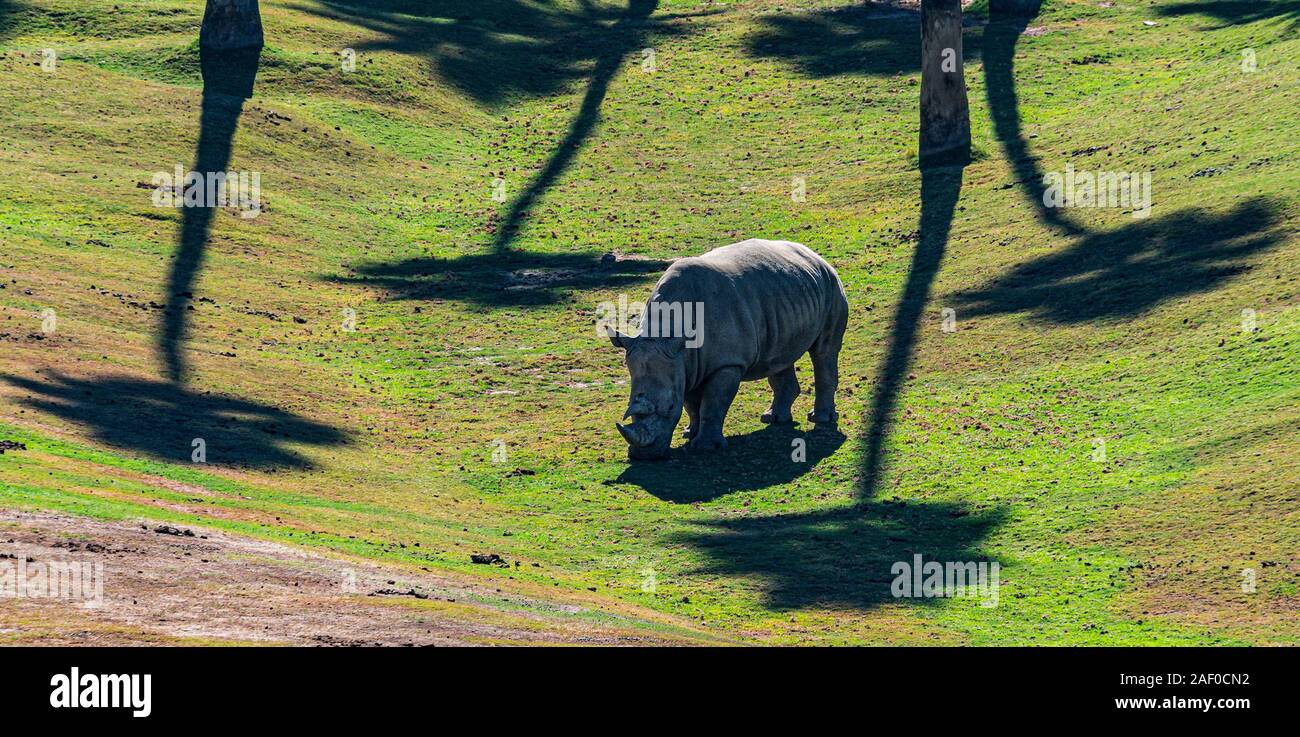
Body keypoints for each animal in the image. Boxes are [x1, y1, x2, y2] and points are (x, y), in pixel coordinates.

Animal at [609, 239, 848, 460]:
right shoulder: (685, 364)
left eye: (669, 407)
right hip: (785, 296)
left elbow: (713, 403)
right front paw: (690, 433)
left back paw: (820, 419)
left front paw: (706, 447)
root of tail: (814, 255)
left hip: (831, 287)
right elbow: (691, 404)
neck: (665, 332)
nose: (644, 456)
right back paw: (773, 418)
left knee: (824, 352)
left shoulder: (726, 363)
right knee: (779, 357)